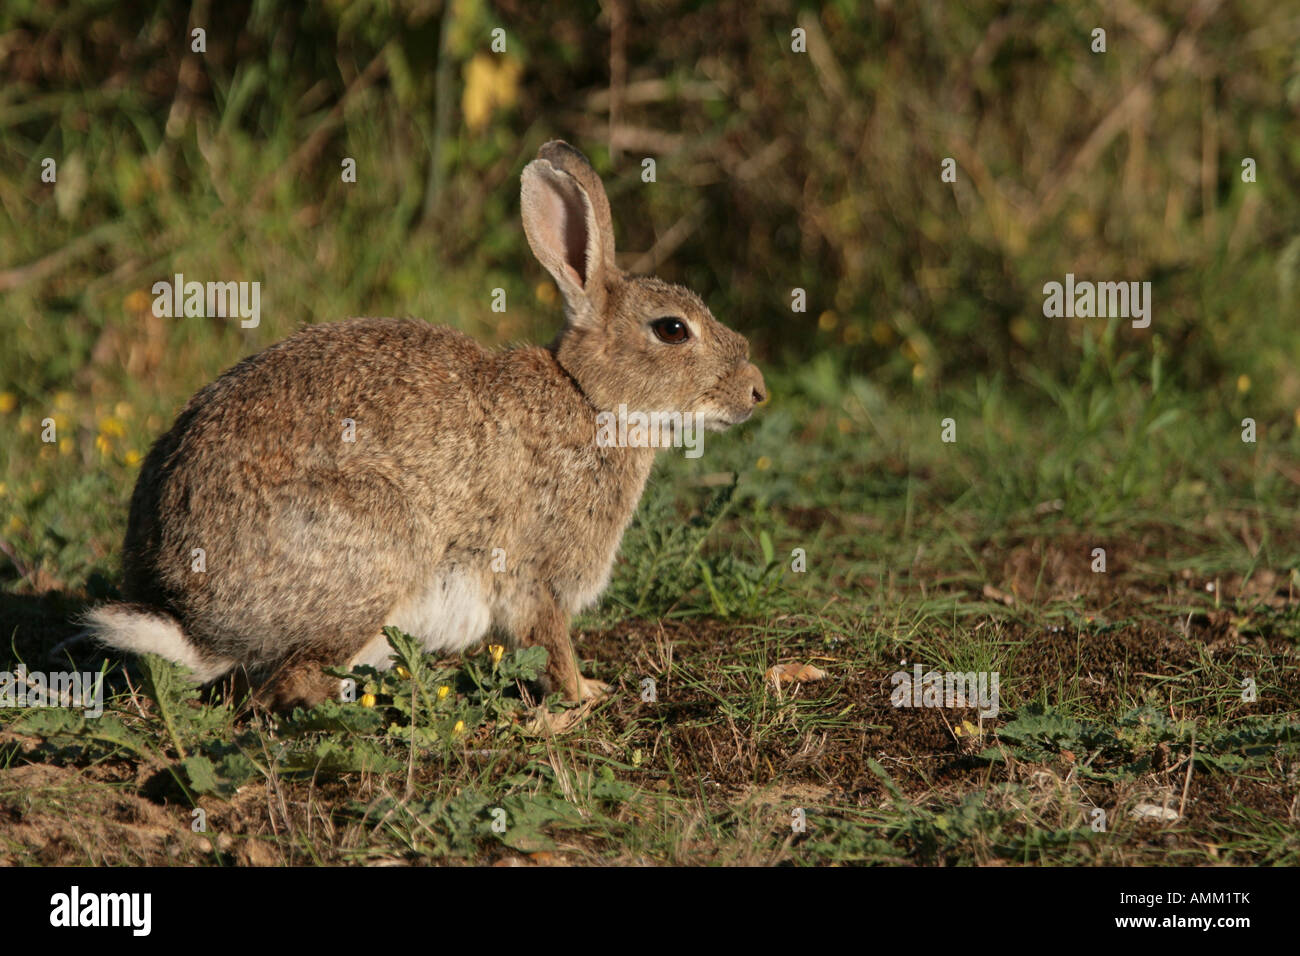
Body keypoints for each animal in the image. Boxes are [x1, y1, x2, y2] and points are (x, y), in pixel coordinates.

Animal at [86, 140, 766, 710]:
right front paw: (584, 697)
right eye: (672, 330)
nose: (757, 390)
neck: (590, 398)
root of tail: (188, 610)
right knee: (291, 680)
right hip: (375, 547)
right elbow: (551, 640)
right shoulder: (535, 573)